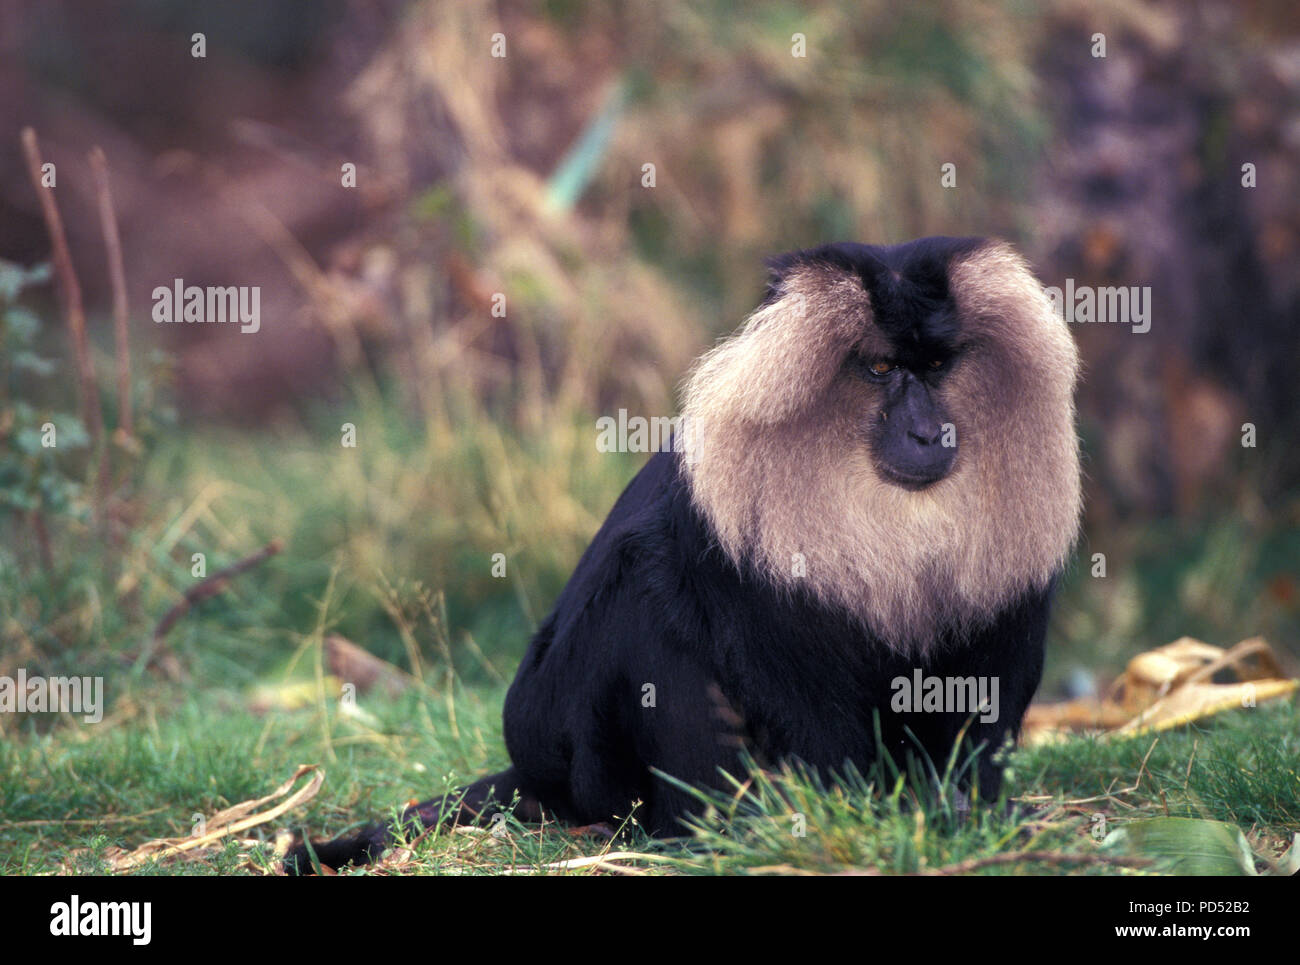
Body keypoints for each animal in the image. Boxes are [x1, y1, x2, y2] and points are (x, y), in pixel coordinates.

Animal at [283, 235, 1081, 873]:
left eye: (939, 364)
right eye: (882, 370)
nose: (926, 432)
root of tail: (534, 765)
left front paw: (967, 810)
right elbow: (790, 692)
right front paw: (858, 816)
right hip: (581, 751)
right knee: (646, 594)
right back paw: (716, 830)